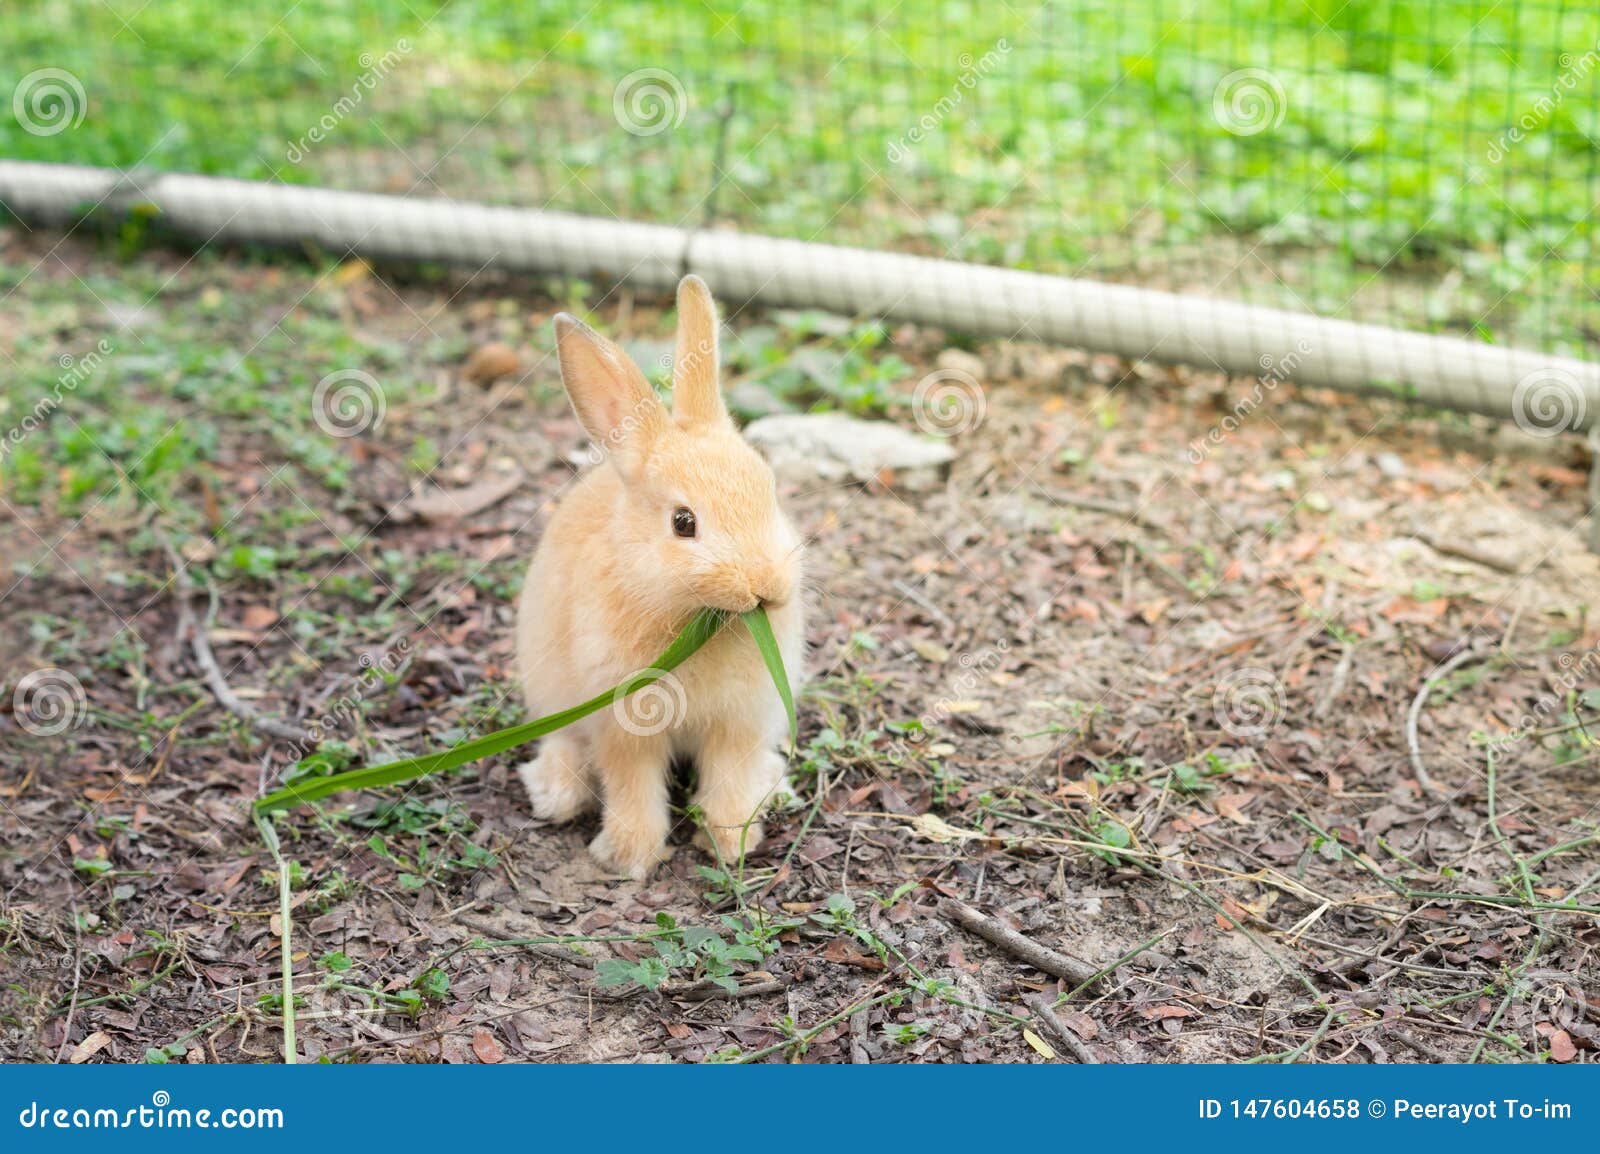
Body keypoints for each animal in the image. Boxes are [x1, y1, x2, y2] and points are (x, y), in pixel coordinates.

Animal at [514, 275, 806, 880]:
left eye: (769, 489)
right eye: (683, 523)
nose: (767, 588)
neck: (697, 619)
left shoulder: (738, 724)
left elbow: (728, 783)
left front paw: (732, 844)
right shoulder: (622, 726)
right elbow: (632, 785)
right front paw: (629, 858)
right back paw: (555, 792)